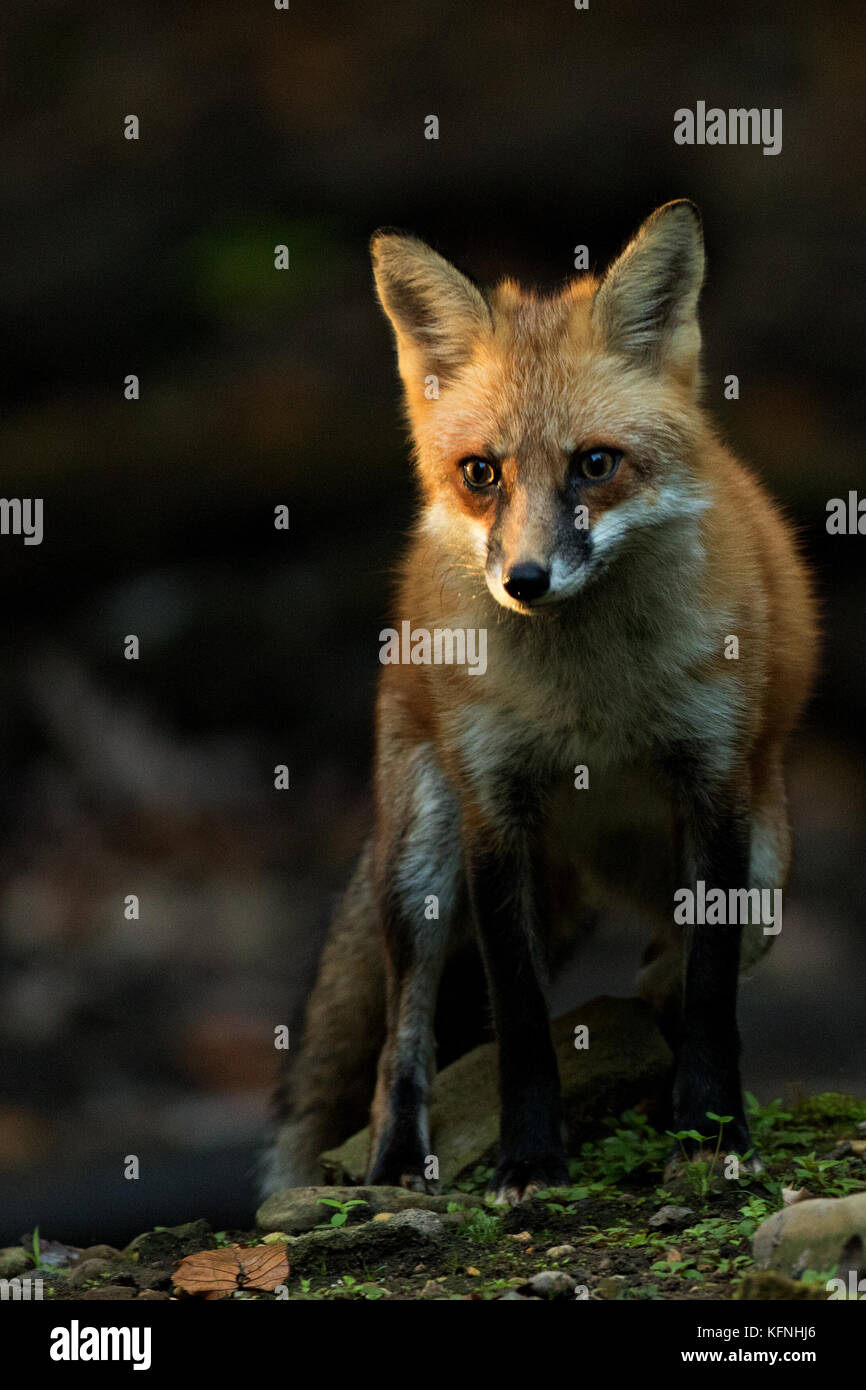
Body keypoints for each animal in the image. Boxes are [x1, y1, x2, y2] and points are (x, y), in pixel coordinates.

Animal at [263, 201, 818, 1205]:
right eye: (481, 472)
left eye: (595, 464)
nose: (524, 581)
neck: (589, 703)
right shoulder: (495, 810)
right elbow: (519, 1018)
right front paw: (529, 1161)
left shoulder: (716, 790)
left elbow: (713, 990)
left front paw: (712, 1132)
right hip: (419, 852)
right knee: (402, 1034)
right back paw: (396, 1161)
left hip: (765, 858)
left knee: (679, 965)